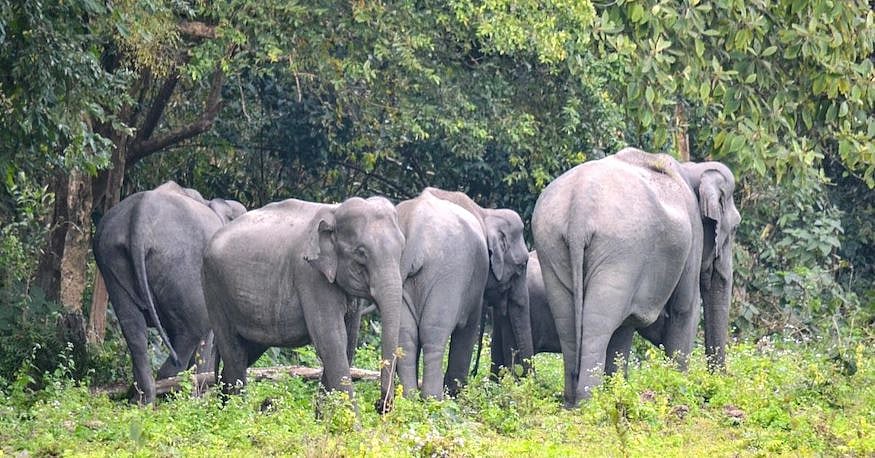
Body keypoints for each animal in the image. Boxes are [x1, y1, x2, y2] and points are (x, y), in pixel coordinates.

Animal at [92, 180, 246, 404]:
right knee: (190, 331)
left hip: (112, 260)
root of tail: (140, 216)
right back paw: (171, 393)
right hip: (181, 266)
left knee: (134, 330)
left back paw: (142, 399)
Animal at [201, 196, 405, 413]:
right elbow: (332, 341)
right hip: (214, 289)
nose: (381, 405)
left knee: (246, 351)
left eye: (402, 248)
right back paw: (235, 414)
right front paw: (352, 423)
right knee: (234, 353)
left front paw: (326, 419)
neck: (335, 211)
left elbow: (348, 342)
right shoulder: (309, 275)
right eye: (361, 253)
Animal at [395, 191, 489, 399]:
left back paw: (410, 398)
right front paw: (456, 391)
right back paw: (434, 399)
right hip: (448, 275)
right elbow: (468, 329)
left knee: (406, 336)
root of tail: (416, 228)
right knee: (433, 332)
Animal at [531, 147, 740, 407]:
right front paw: (678, 389)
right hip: (620, 252)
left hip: (551, 245)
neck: (691, 169)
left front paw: (618, 389)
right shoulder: (693, 236)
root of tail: (579, 208)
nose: (718, 383)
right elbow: (685, 308)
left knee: (568, 324)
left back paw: (572, 401)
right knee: (597, 326)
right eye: (735, 228)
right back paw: (589, 402)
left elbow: (625, 328)